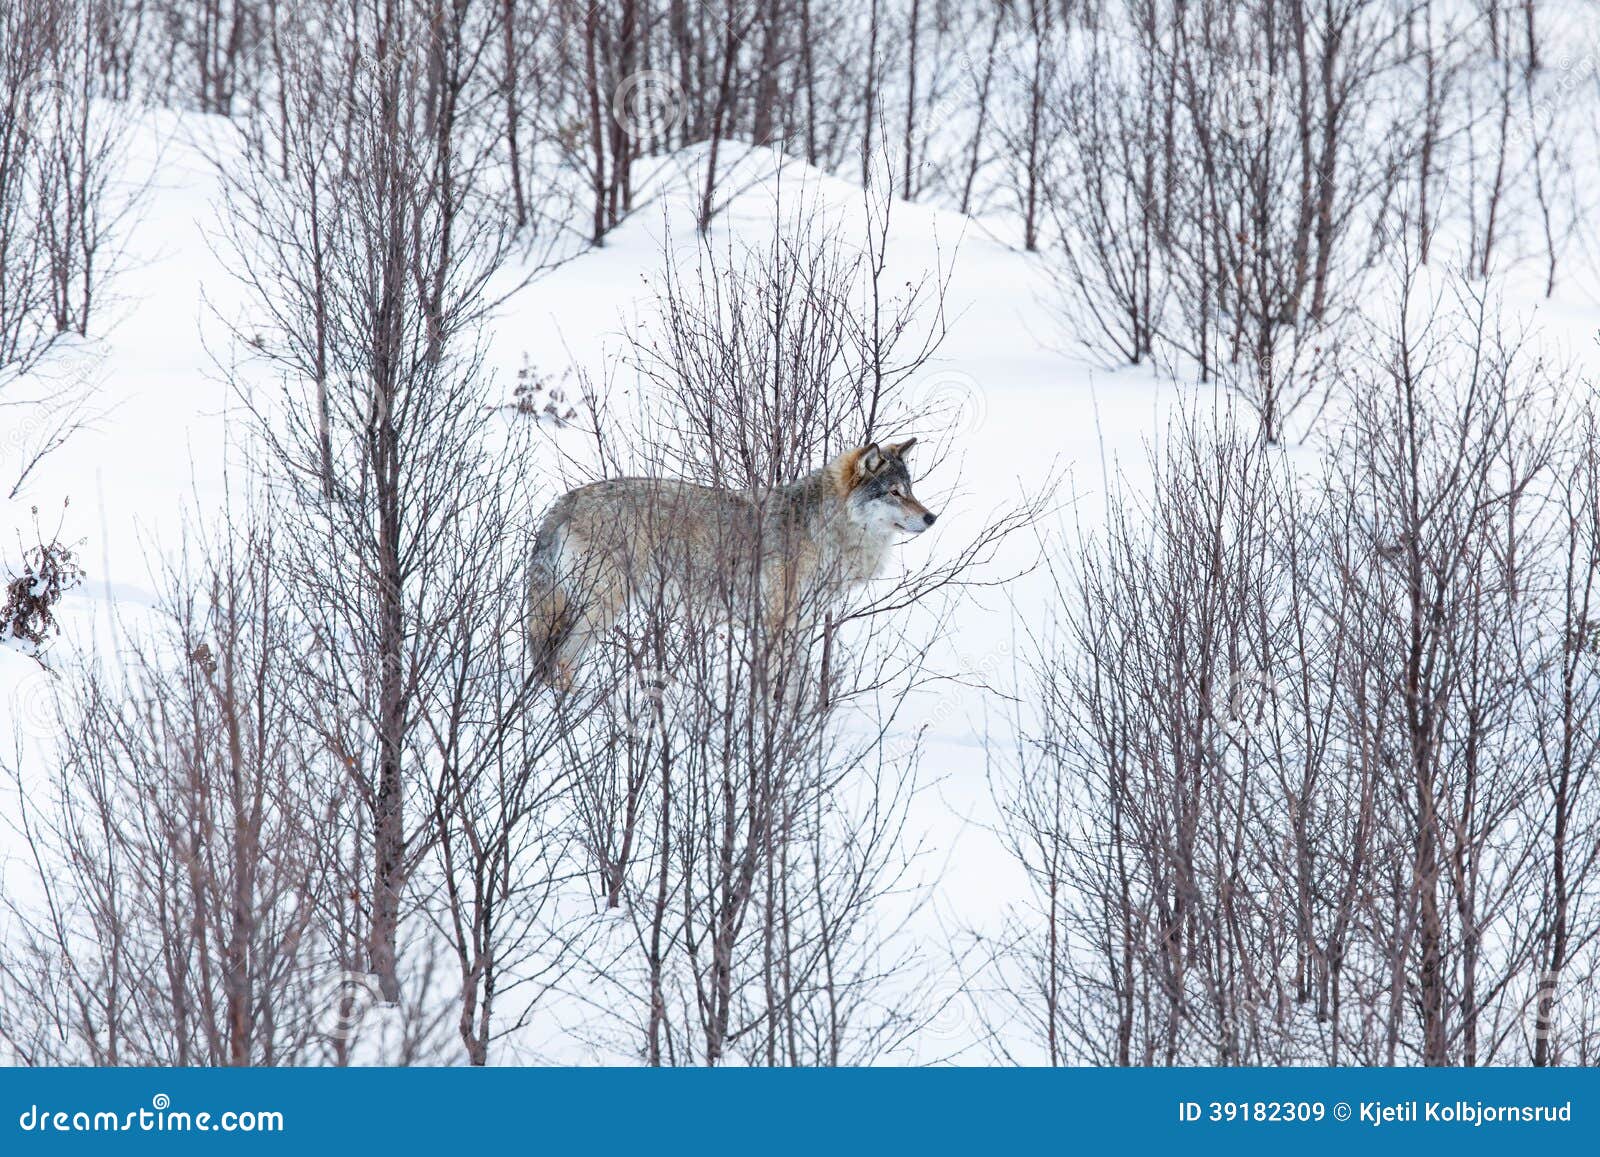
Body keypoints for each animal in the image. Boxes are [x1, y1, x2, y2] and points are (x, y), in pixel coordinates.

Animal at [527, 439, 937, 688]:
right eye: (894, 493)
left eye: (911, 490)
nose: (931, 517)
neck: (821, 528)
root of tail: (566, 500)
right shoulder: (774, 626)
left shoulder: (800, 627)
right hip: (604, 608)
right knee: (562, 661)